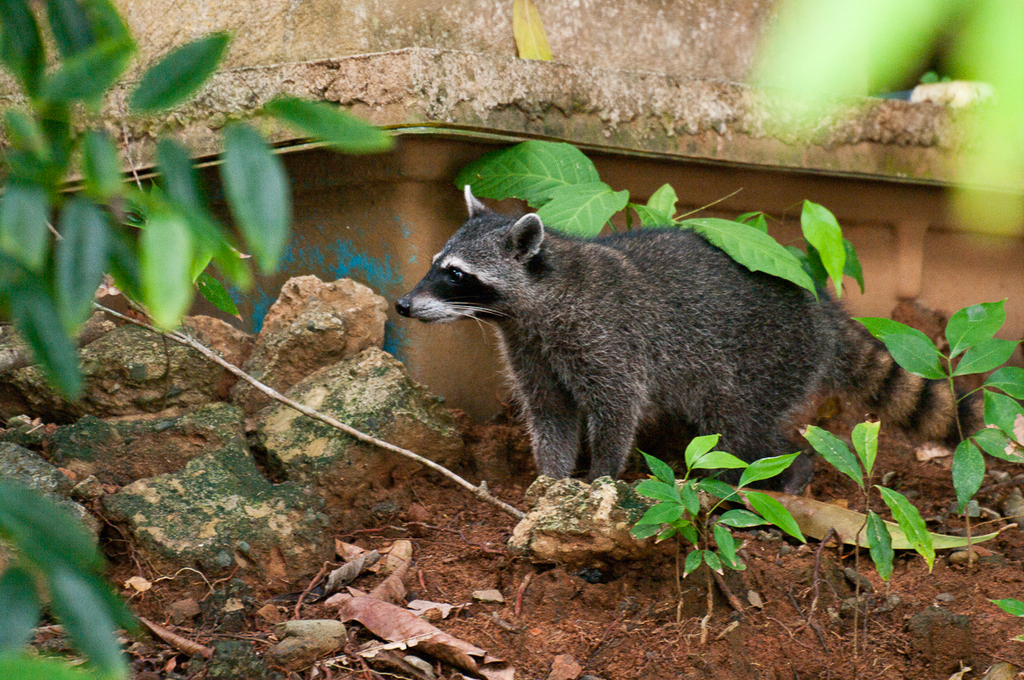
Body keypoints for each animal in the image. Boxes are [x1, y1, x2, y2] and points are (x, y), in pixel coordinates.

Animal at [395, 187, 978, 491]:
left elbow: (617, 410)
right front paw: (552, 485)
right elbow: (552, 416)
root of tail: (821, 311)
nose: (402, 304)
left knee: (745, 430)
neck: (525, 310)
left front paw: (600, 480)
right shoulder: (530, 352)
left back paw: (789, 473)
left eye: (456, 275)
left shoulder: (605, 338)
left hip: (765, 362)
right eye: (434, 264)